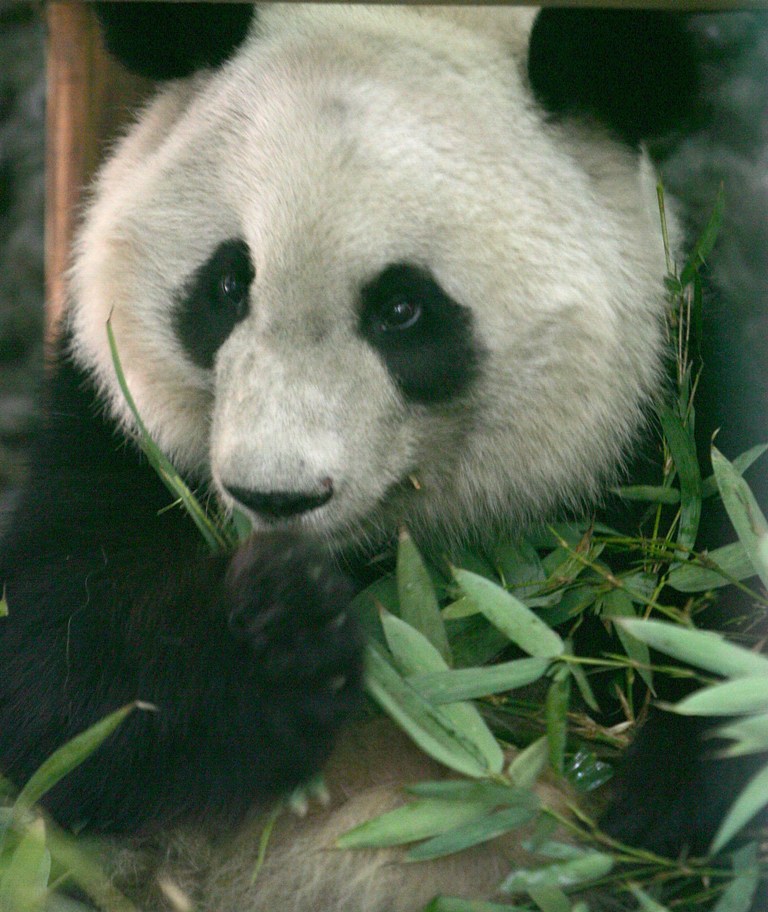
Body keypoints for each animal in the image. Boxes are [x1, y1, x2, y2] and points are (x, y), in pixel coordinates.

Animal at [0, 4, 762, 911]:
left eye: (402, 309)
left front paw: (665, 801)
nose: (278, 495)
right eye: (228, 284)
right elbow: (64, 688)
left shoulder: (670, 435)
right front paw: (280, 636)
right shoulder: (108, 439)